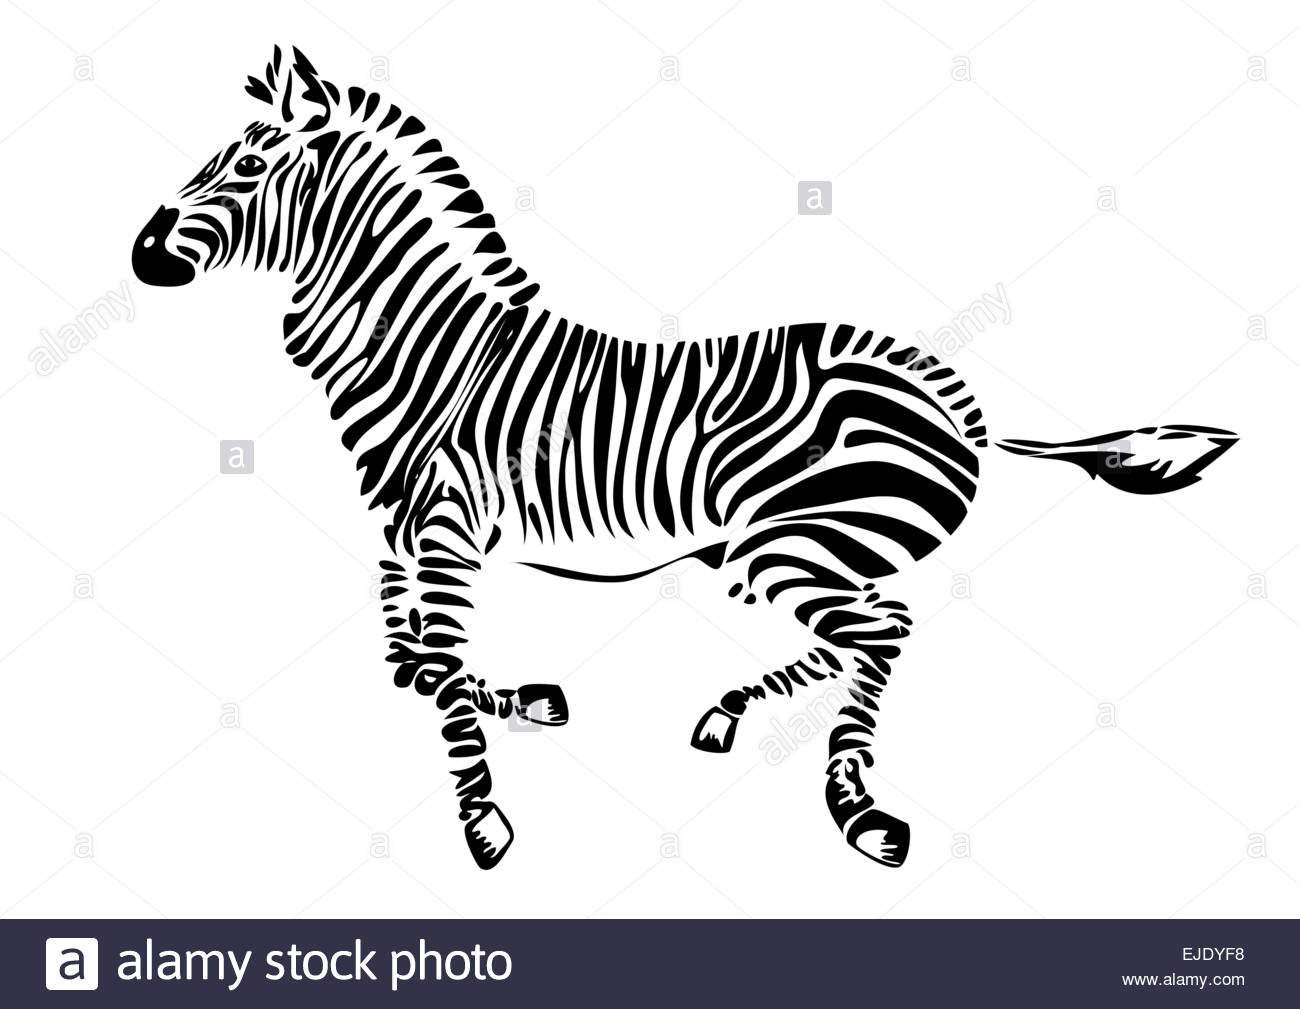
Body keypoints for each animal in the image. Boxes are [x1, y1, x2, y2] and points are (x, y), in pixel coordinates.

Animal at [130, 47, 1238, 870]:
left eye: (247, 167)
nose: (140, 254)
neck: (429, 347)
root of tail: (960, 402)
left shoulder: (444, 535)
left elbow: (434, 673)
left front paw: (482, 820)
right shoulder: (404, 541)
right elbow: (415, 668)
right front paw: (523, 704)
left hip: (801, 541)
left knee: (879, 633)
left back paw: (853, 804)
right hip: (781, 550)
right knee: (860, 634)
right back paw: (729, 712)